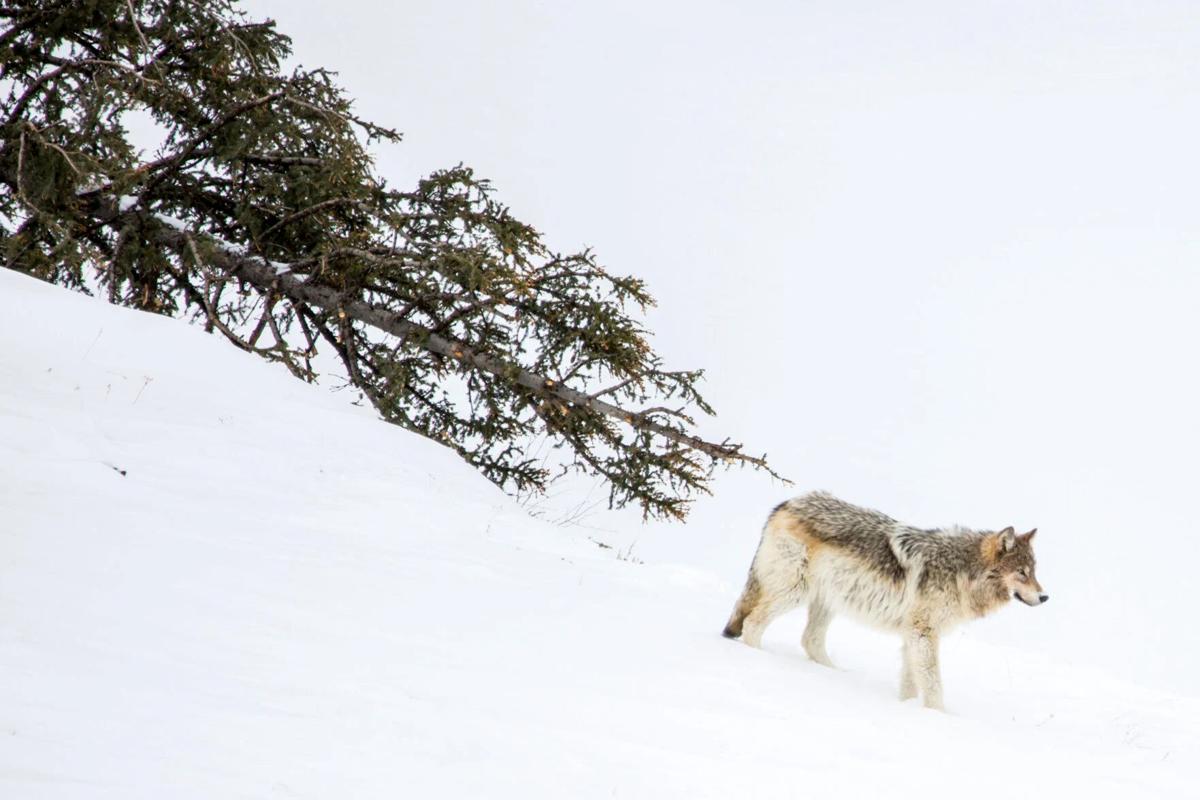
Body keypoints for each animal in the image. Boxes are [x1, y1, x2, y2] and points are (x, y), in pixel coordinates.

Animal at [722, 491, 1047, 710]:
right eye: (1021, 573)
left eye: (1034, 572)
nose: (1045, 596)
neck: (961, 570)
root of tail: (786, 503)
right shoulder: (923, 633)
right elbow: (933, 685)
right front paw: (941, 715)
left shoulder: (913, 635)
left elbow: (911, 683)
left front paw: (908, 709)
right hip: (795, 591)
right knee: (753, 623)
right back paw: (760, 659)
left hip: (828, 599)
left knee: (809, 640)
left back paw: (836, 674)